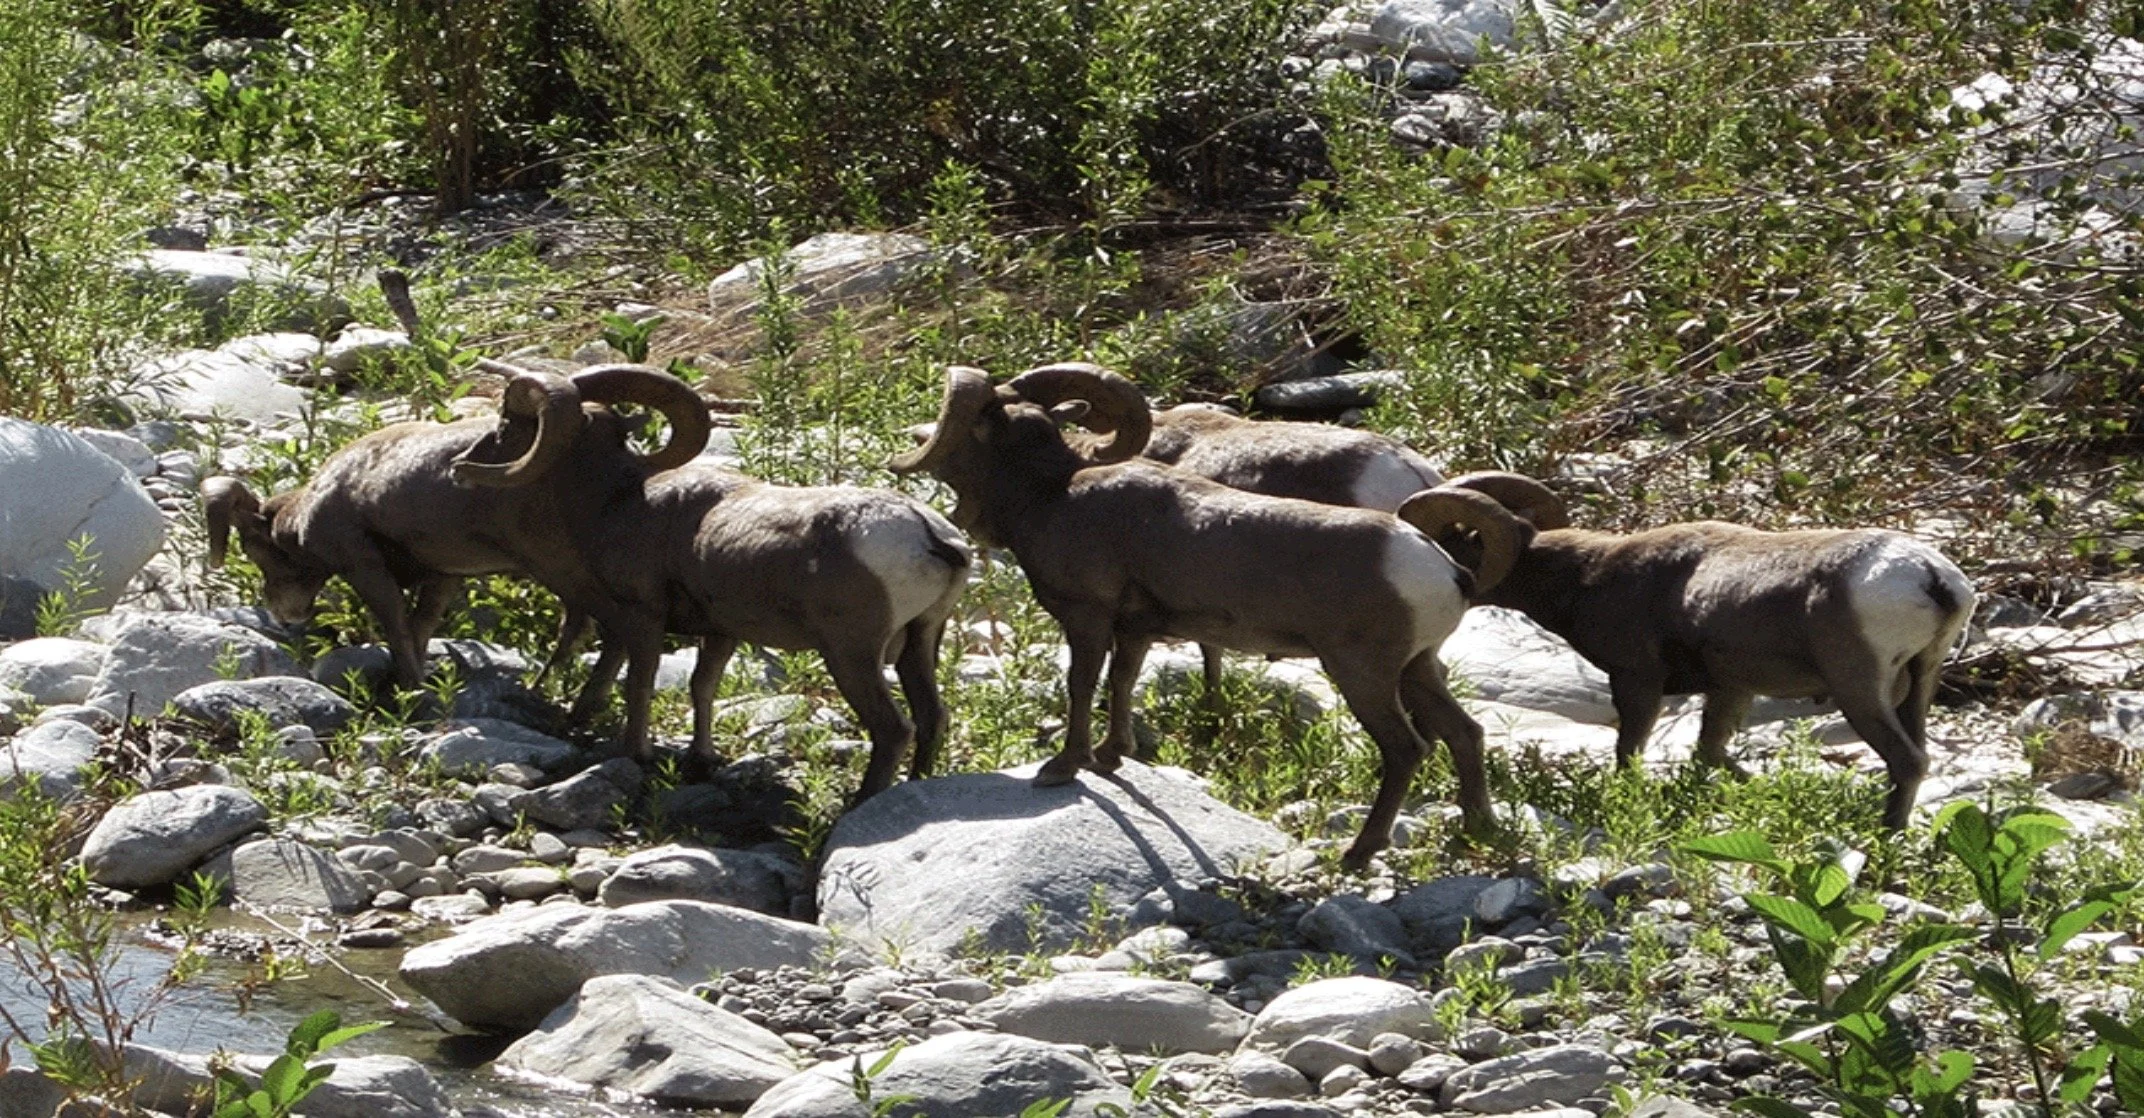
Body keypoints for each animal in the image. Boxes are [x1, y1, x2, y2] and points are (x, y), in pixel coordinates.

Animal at [202, 362, 710, 702]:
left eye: (255, 548)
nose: (284, 614)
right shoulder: (443, 575)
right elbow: (421, 627)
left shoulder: (365, 566)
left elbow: (396, 624)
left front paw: (410, 691)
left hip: (560, 571)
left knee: (610, 631)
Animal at [454, 372, 973, 798]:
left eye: (509, 424)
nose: (463, 464)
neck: (621, 500)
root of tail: (928, 533)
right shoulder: (720, 633)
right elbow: (702, 687)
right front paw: (699, 761)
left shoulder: (644, 617)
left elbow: (639, 683)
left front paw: (634, 754)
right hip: (920, 643)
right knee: (932, 718)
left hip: (852, 653)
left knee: (893, 729)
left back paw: (859, 805)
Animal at [891, 362, 1526, 869]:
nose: (916, 436)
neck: (1053, 493)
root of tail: (1441, 567)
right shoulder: (1136, 630)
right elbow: (1122, 683)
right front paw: (1111, 757)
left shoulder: (1087, 618)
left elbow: (1082, 685)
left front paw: (1064, 768)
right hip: (1417, 670)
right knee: (1464, 733)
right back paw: (1478, 828)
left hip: (1362, 675)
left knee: (1406, 749)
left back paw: (1359, 852)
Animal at [1401, 471, 1976, 830]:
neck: (1587, 579)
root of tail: (1931, 577)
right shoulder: (1729, 690)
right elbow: (1710, 754)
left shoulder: (1637, 681)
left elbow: (1629, 752)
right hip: (1918, 685)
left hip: (1859, 690)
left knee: (1907, 760)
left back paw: (1885, 835)